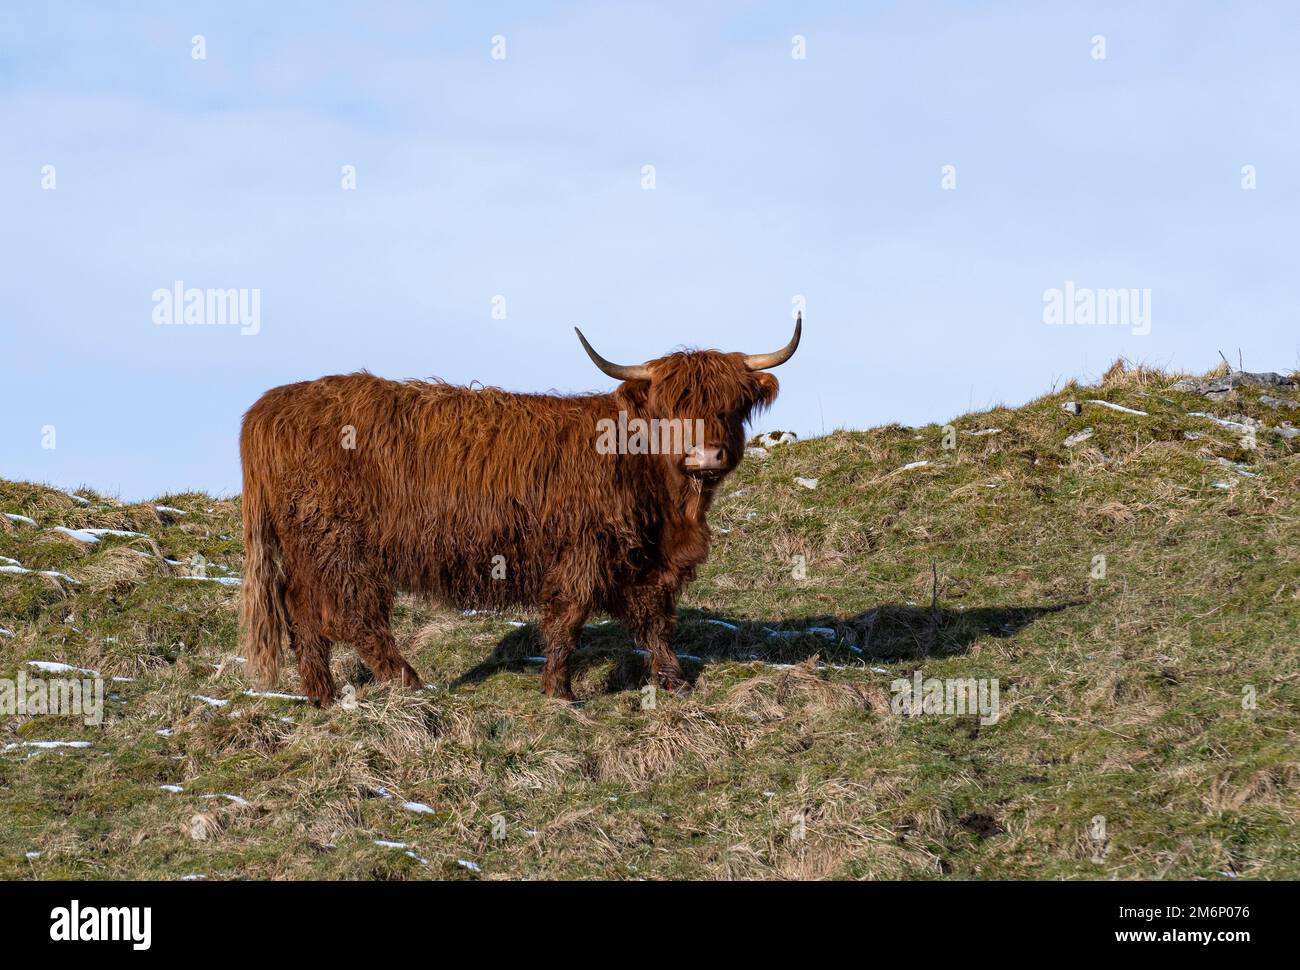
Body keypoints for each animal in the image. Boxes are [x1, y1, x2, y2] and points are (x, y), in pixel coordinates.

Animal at [240, 315, 800, 705]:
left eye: (730, 405)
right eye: (672, 409)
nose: (705, 456)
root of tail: (271, 406)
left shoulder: (645, 564)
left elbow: (655, 622)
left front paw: (676, 682)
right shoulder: (582, 550)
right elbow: (568, 619)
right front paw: (560, 692)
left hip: (307, 548)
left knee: (300, 610)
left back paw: (322, 697)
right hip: (339, 543)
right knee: (349, 613)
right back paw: (408, 681)